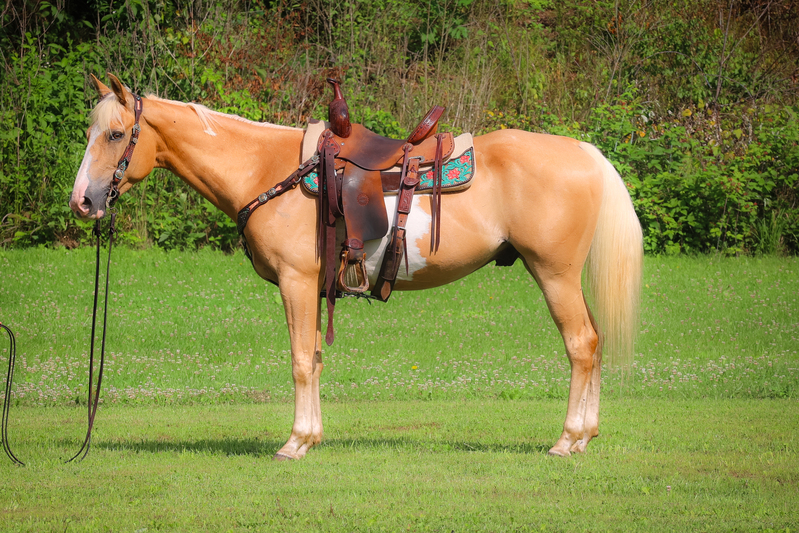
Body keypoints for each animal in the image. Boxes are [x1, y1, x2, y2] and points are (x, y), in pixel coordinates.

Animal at [69, 74, 643, 460]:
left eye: (115, 135)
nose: (82, 202)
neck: (267, 169)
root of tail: (587, 153)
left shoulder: (296, 283)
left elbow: (301, 360)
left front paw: (295, 443)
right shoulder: (310, 287)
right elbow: (316, 357)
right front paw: (312, 437)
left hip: (554, 274)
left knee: (581, 345)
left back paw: (567, 440)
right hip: (564, 277)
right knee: (593, 340)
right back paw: (586, 436)